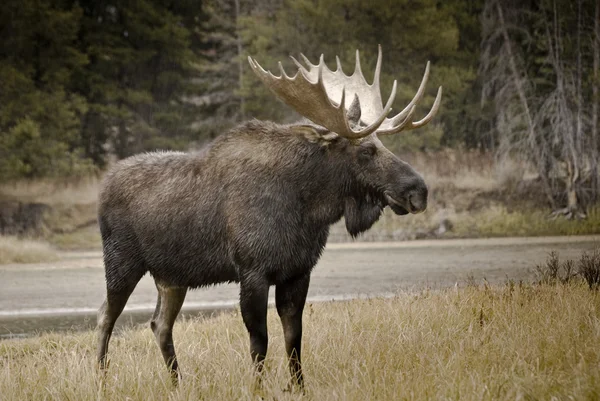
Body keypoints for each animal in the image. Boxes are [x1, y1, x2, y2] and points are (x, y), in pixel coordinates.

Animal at [95, 46, 440, 388]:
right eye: (365, 151)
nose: (418, 191)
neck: (306, 209)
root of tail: (102, 188)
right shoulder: (253, 271)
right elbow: (259, 342)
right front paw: (258, 389)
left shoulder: (298, 271)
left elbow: (293, 339)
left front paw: (299, 387)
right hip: (121, 263)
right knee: (105, 317)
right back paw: (102, 380)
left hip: (171, 277)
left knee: (159, 324)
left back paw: (178, 384)